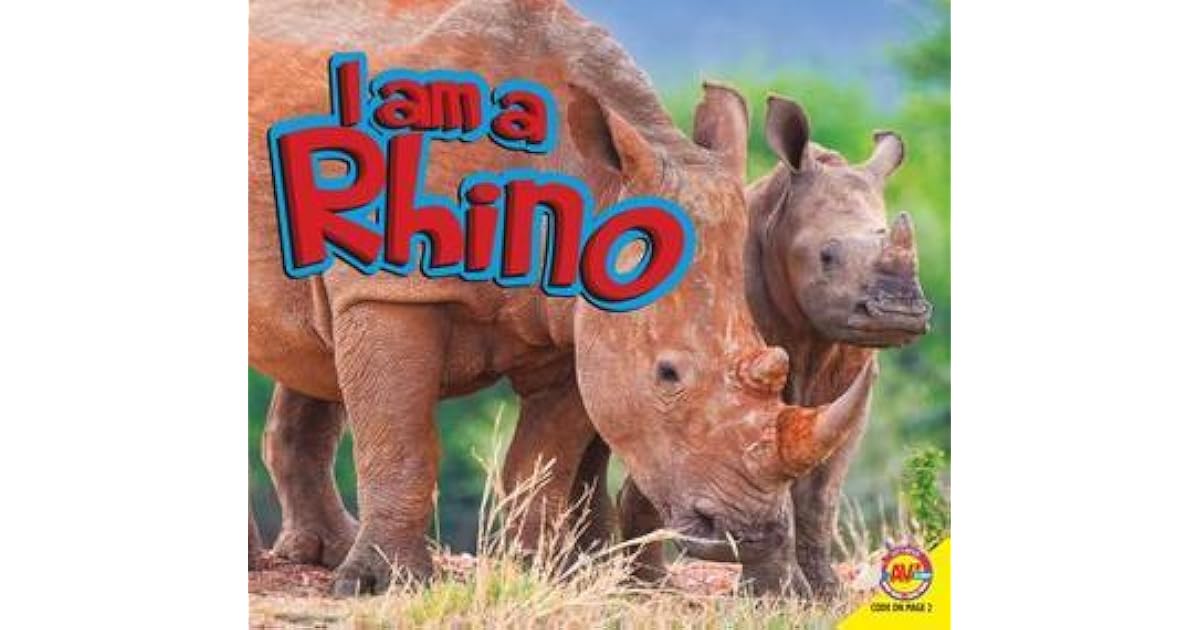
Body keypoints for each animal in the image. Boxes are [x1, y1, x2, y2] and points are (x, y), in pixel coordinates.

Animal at [249, 0, 872, 595]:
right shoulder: (390, 292)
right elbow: (403, 442)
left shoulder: (577, 321)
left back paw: (319, 554)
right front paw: (385, 583)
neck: (586, 181)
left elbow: (542, 461)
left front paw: (541, 572)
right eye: (667, 374)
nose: (750, 532)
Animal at [613, 86, 931, 597]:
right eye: (826, 256)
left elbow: (820, 494)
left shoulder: (850, 381)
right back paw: (648, 586)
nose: (899, 314)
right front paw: (777, 594)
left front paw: (823, 594)